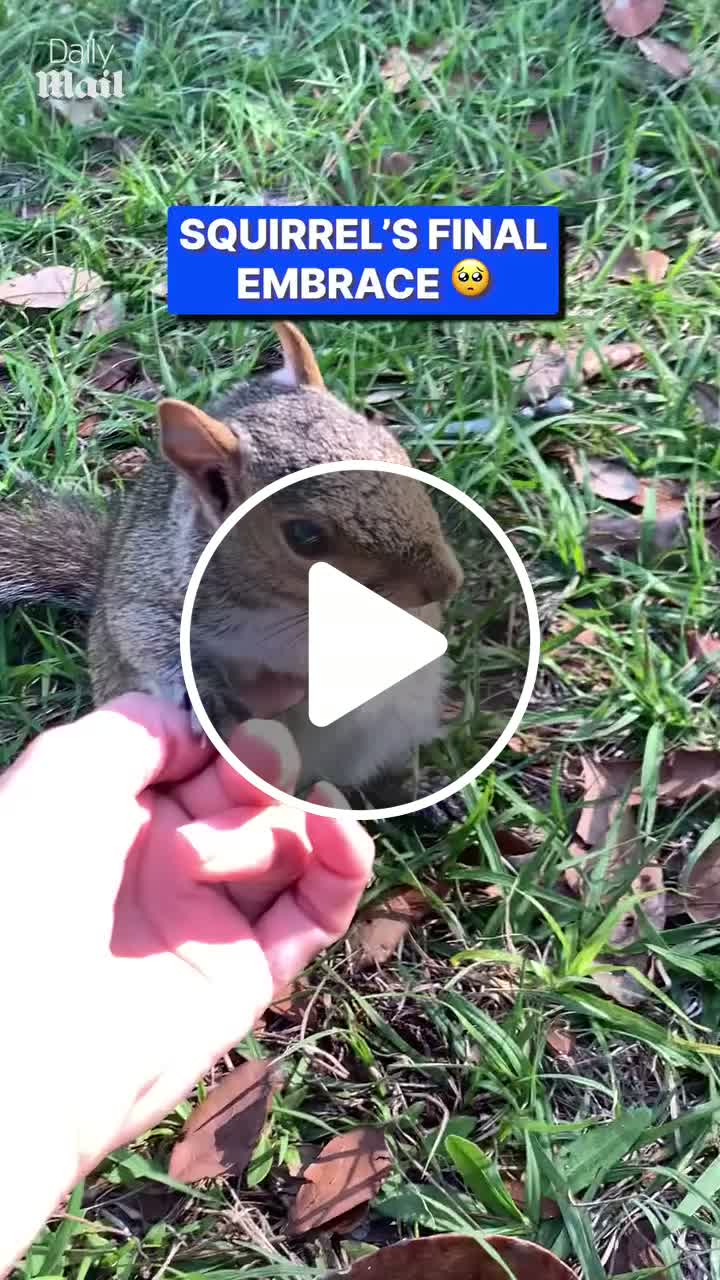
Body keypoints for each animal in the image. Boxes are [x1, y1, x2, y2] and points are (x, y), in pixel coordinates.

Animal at [0, 322, 463, 805]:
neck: (287, 606)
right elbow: (143, 634)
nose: (446, 585)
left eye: (398, 453)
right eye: (305, 536)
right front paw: (203, 695)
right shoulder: (149, 584)